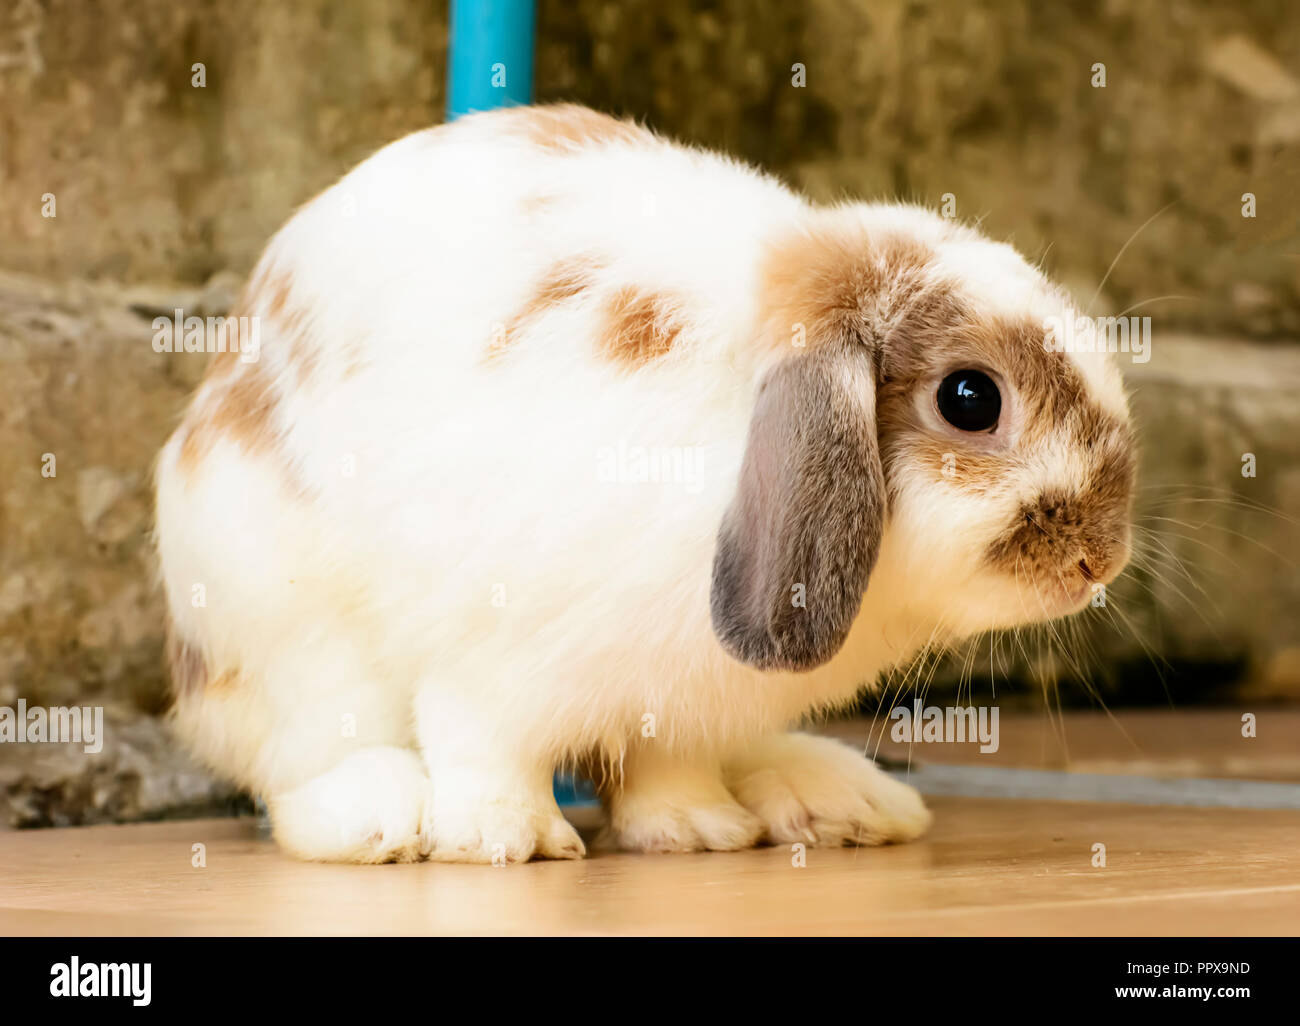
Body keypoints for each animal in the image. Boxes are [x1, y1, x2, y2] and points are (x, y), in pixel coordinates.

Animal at [154, 103, 1136, 864]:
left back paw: (832, 798)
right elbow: (481, 742)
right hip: (290, 637)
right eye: (970, 398)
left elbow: (666, 766)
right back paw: (382, 818)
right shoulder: (492, 650)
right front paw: (504, 838)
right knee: (305, 760)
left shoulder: (678, 694)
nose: (1102, 559)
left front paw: (696, 831)